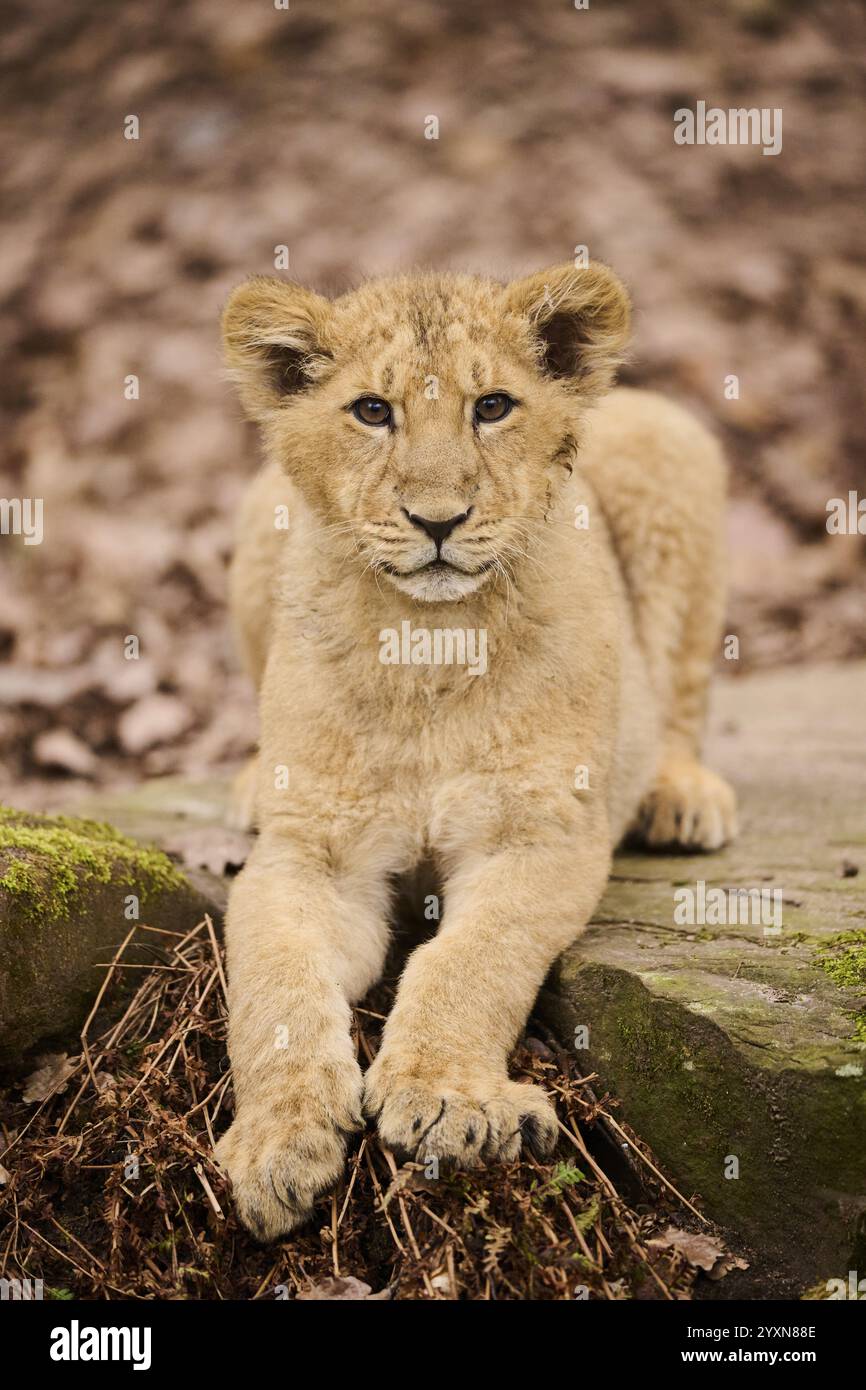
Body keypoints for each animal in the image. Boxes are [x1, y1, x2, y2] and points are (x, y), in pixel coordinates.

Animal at [213, 261, 737, 1240]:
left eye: (492, 406)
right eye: (372, 411)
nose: (438, 520)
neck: (427, 645)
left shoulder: (538, 834)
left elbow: (469, 962)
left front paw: (448, 1098)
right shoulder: (310, 855)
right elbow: (274, 991)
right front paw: (275, 1140)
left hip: (668, 442)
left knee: (680, 694)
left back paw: (682, 796)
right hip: (260, 505)